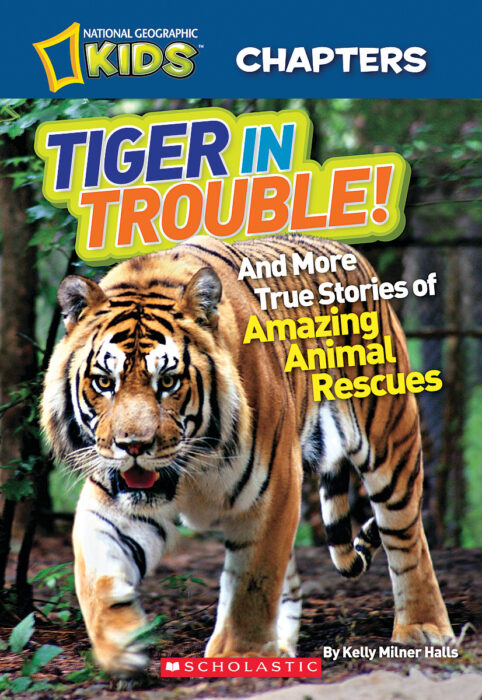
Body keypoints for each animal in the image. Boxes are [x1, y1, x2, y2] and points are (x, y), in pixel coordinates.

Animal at [41, 234, 454, 676]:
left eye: (167, 381)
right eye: (105, 382)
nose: (133, 446)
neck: (190, 469)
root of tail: (349, 250)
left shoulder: (274, 490)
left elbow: (252, 583)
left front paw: (237, 655)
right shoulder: (112, 500)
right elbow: (96, 577)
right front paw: (121, 644)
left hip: (390, 437)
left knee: (406, 536)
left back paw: (424, 629)